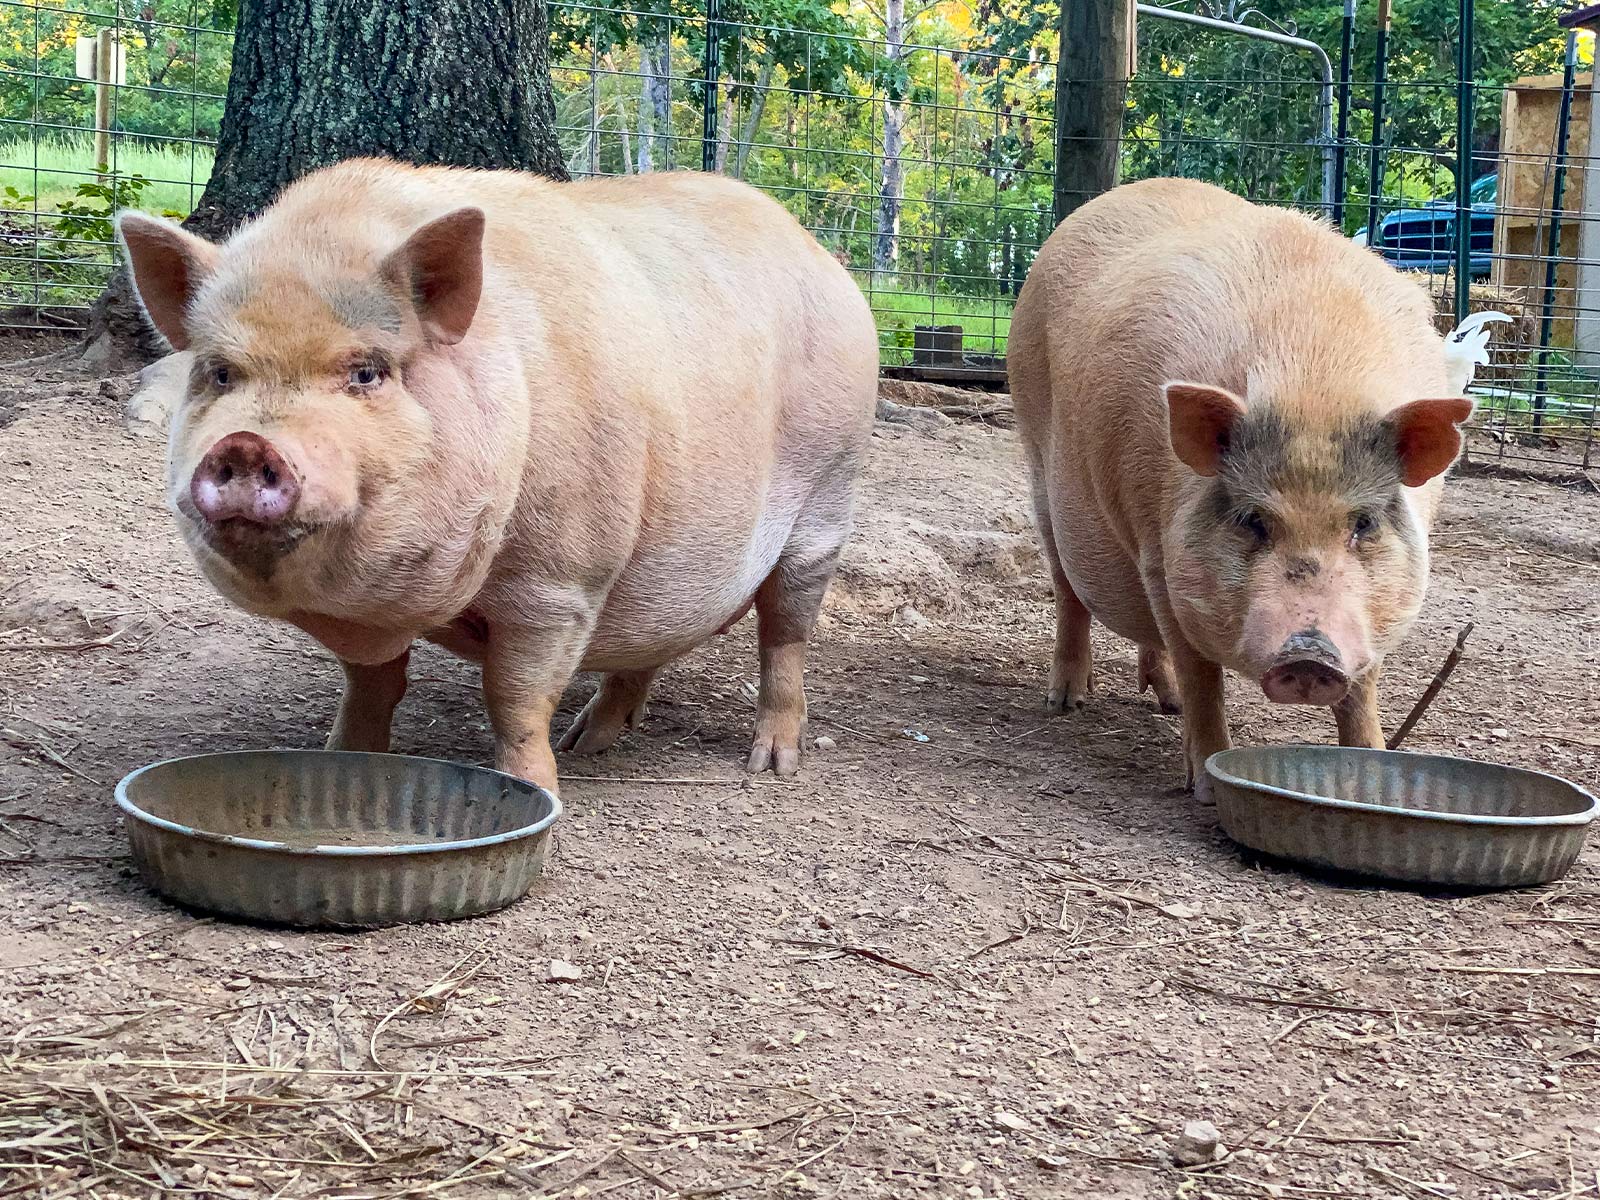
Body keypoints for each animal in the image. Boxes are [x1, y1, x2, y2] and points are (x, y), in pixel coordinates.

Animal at [116, 158, 879, 796]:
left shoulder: (560, 582)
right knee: (652, 644)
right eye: (219, 373)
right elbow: (370, 684)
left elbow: (514, 699)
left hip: (828, 493)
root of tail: (820, 255)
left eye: (367, 372)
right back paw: (589, 743)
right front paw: (342, 753)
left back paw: (770, 764)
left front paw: (537, 793)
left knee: (785, 631)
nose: (246, 444)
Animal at [1007, 178, 1472, 798]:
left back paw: (1163, 702)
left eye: (1364, 523)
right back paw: (1066, 702)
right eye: (1254, 520)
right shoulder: (1163, 558)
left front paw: (1372, 762)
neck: (1312, 388)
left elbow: (1362, 689)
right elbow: (1204, 678)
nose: (1309, 654)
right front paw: (1205, 785)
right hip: (1039, 466)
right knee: (1068, 593)